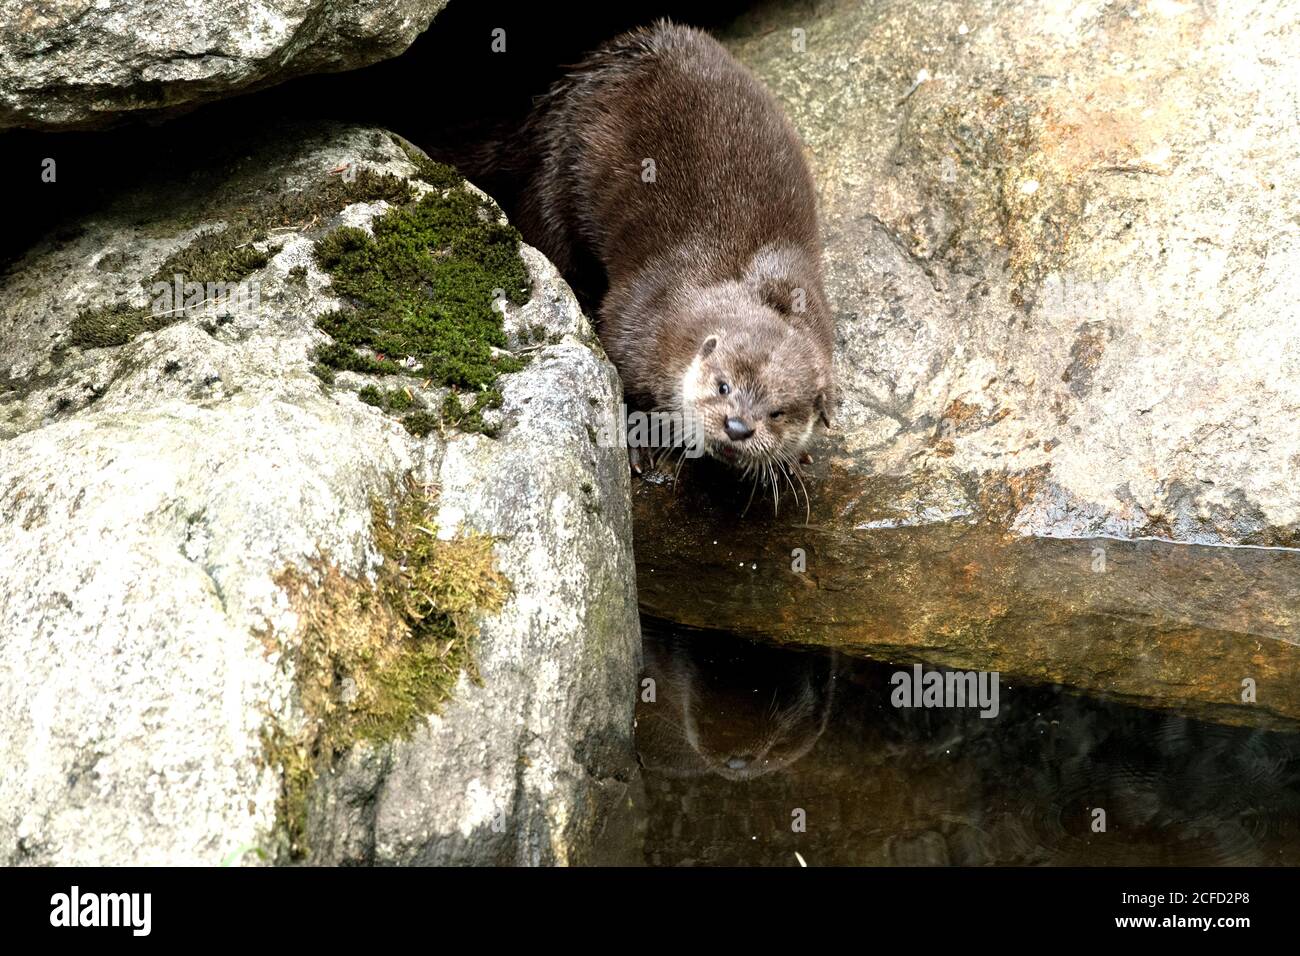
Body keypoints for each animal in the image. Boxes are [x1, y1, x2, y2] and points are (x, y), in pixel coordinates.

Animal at [513, 21, 835, 486]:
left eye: (778, 412)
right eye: (723, 385)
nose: (738, 426)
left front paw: (791, 460)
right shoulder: (635, 320)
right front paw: (636, 445)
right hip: (556, 173)